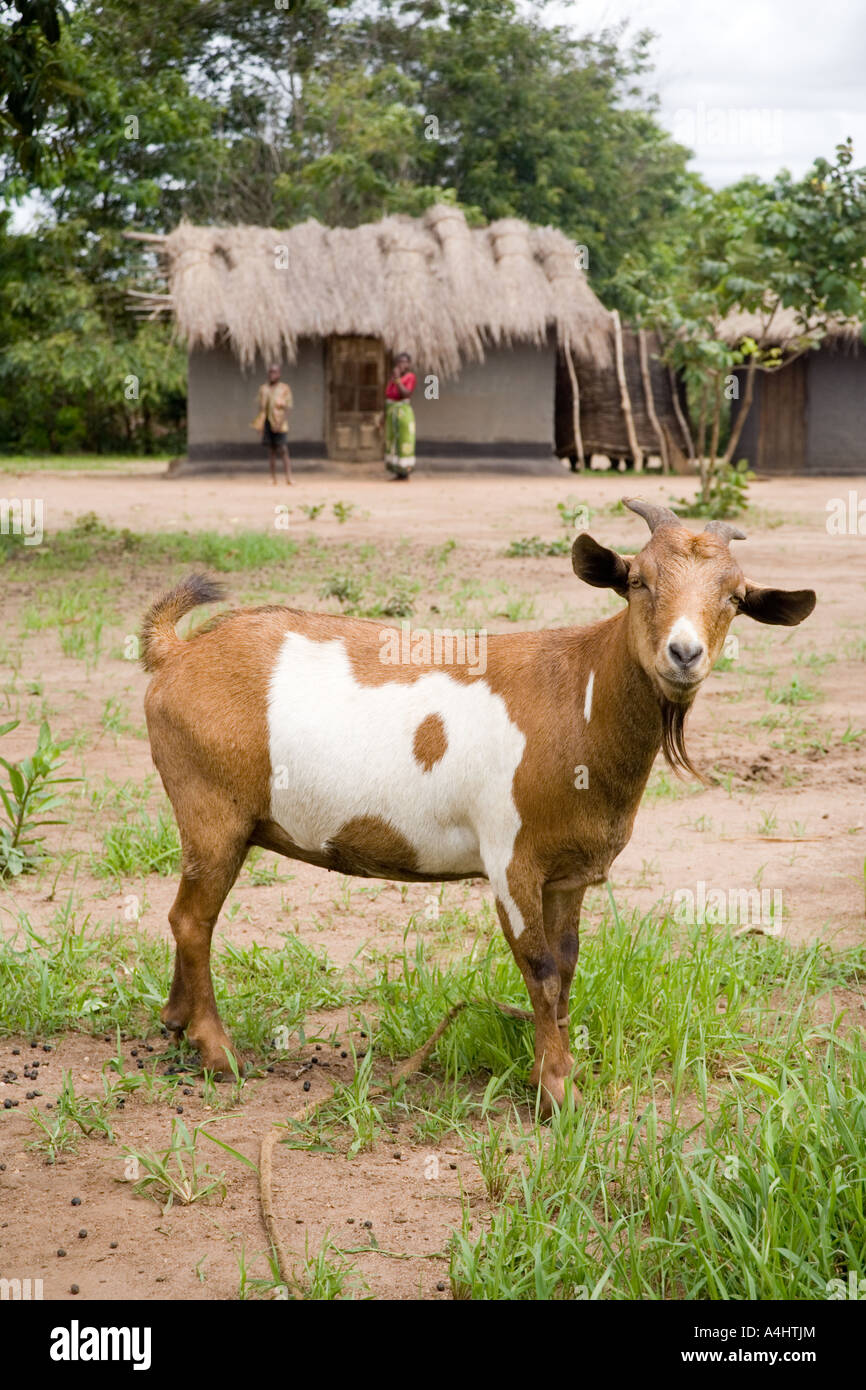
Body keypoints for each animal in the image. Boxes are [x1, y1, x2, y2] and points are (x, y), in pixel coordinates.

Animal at [140, 499, 815, 1111]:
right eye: (637, 580)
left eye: (735, 597)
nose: (684, 654)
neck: (580, 695)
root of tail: (176, 652)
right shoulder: (510, 858)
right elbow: (540, 969)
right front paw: (557, 1094)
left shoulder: (568, 874)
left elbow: (567, 967)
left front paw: (555, 1070)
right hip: (213, 811)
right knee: (192, 919)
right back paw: (218, 1051)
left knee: (189, 914)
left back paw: (176, 1020)